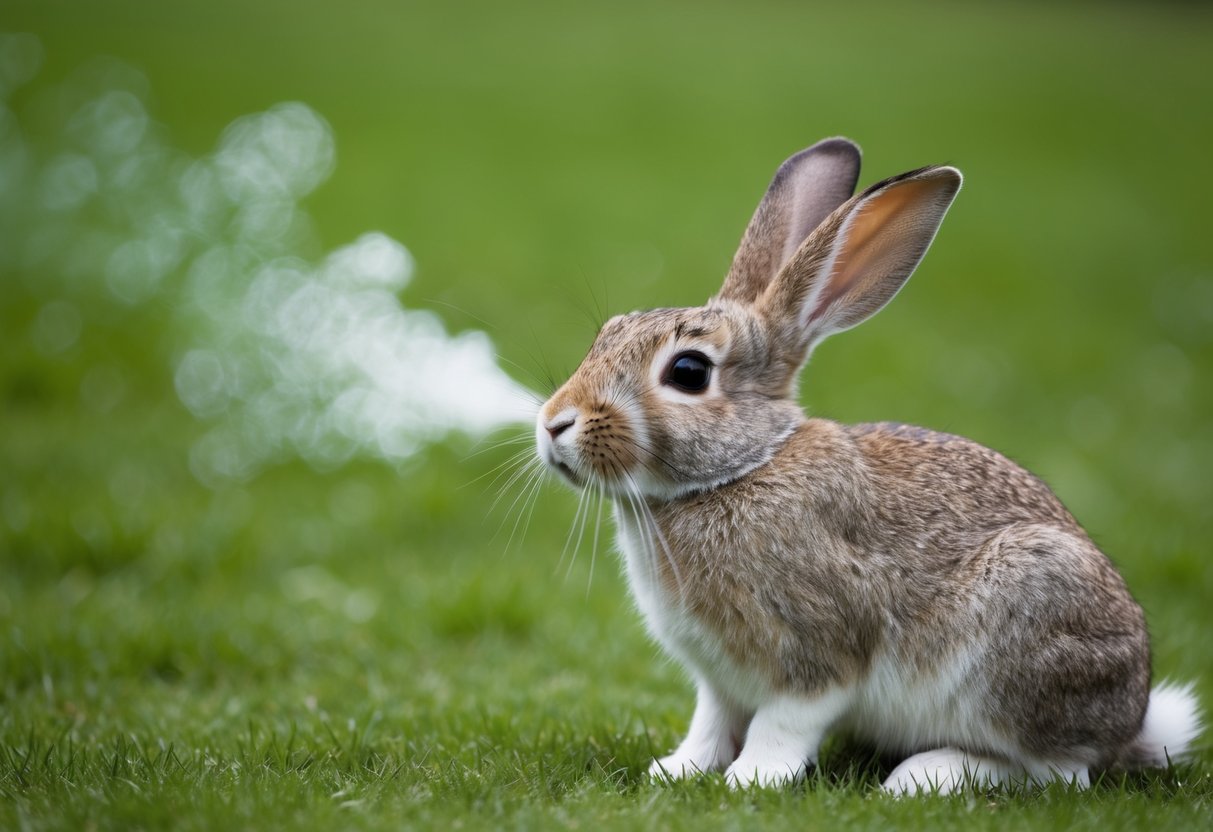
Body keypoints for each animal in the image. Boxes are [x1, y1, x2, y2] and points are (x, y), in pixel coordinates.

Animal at [533, 137, 1201, 793]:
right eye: (608, 331)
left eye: (689, 372)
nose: (553, 423)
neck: (742, 468)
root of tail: (1128, 723)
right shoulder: (719, 679)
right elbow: (712, 721)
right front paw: (678, 770)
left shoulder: (817, 651)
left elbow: (783, 722)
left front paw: (750, 780)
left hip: (1022, 630)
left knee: (1056, 773)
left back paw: (923, 775)